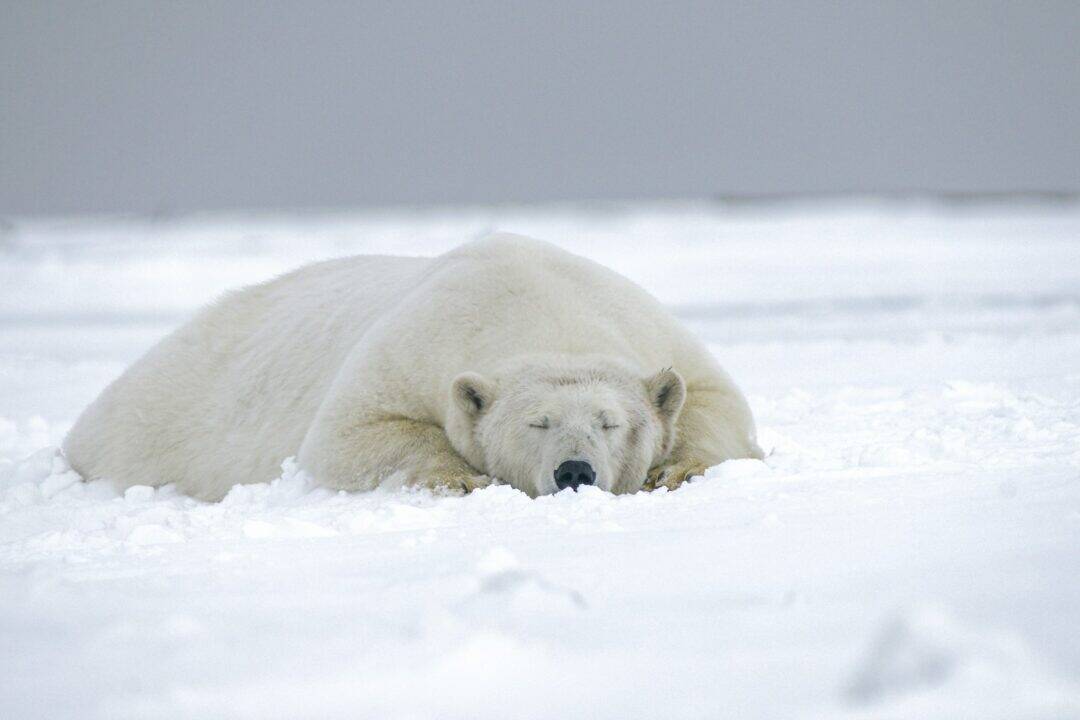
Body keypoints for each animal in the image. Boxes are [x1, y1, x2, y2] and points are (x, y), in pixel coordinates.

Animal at [63, 234, 762, 500]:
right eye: (535, 423)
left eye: (610, 422)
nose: (574, 471)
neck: (539, 306)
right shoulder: (416, 344)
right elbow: (350, 436)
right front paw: (462, 478)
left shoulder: (645, 326)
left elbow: (715, 402)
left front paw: (674, 469)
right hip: (154, 420)